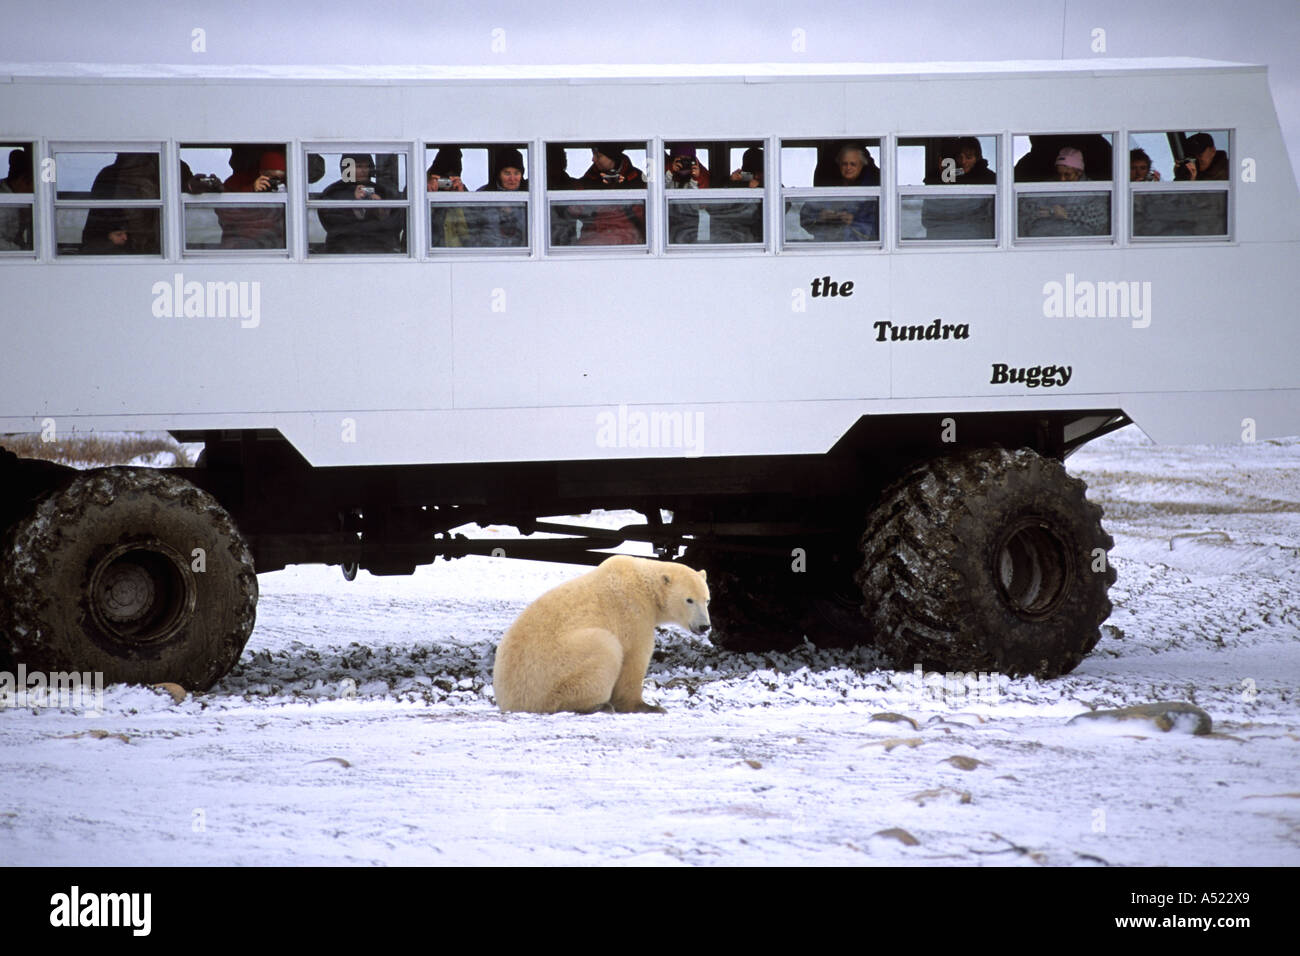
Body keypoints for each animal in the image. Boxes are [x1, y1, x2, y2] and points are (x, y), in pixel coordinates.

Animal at [492, 555, 710, 714]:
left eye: (707, 599)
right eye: (689, 600)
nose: (704, 626)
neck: (643, 584)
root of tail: (510, 702)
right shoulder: (634, 614)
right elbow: (634, 658)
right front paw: (649, 707)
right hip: (556, 669)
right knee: (605, 648)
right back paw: (599, 705)